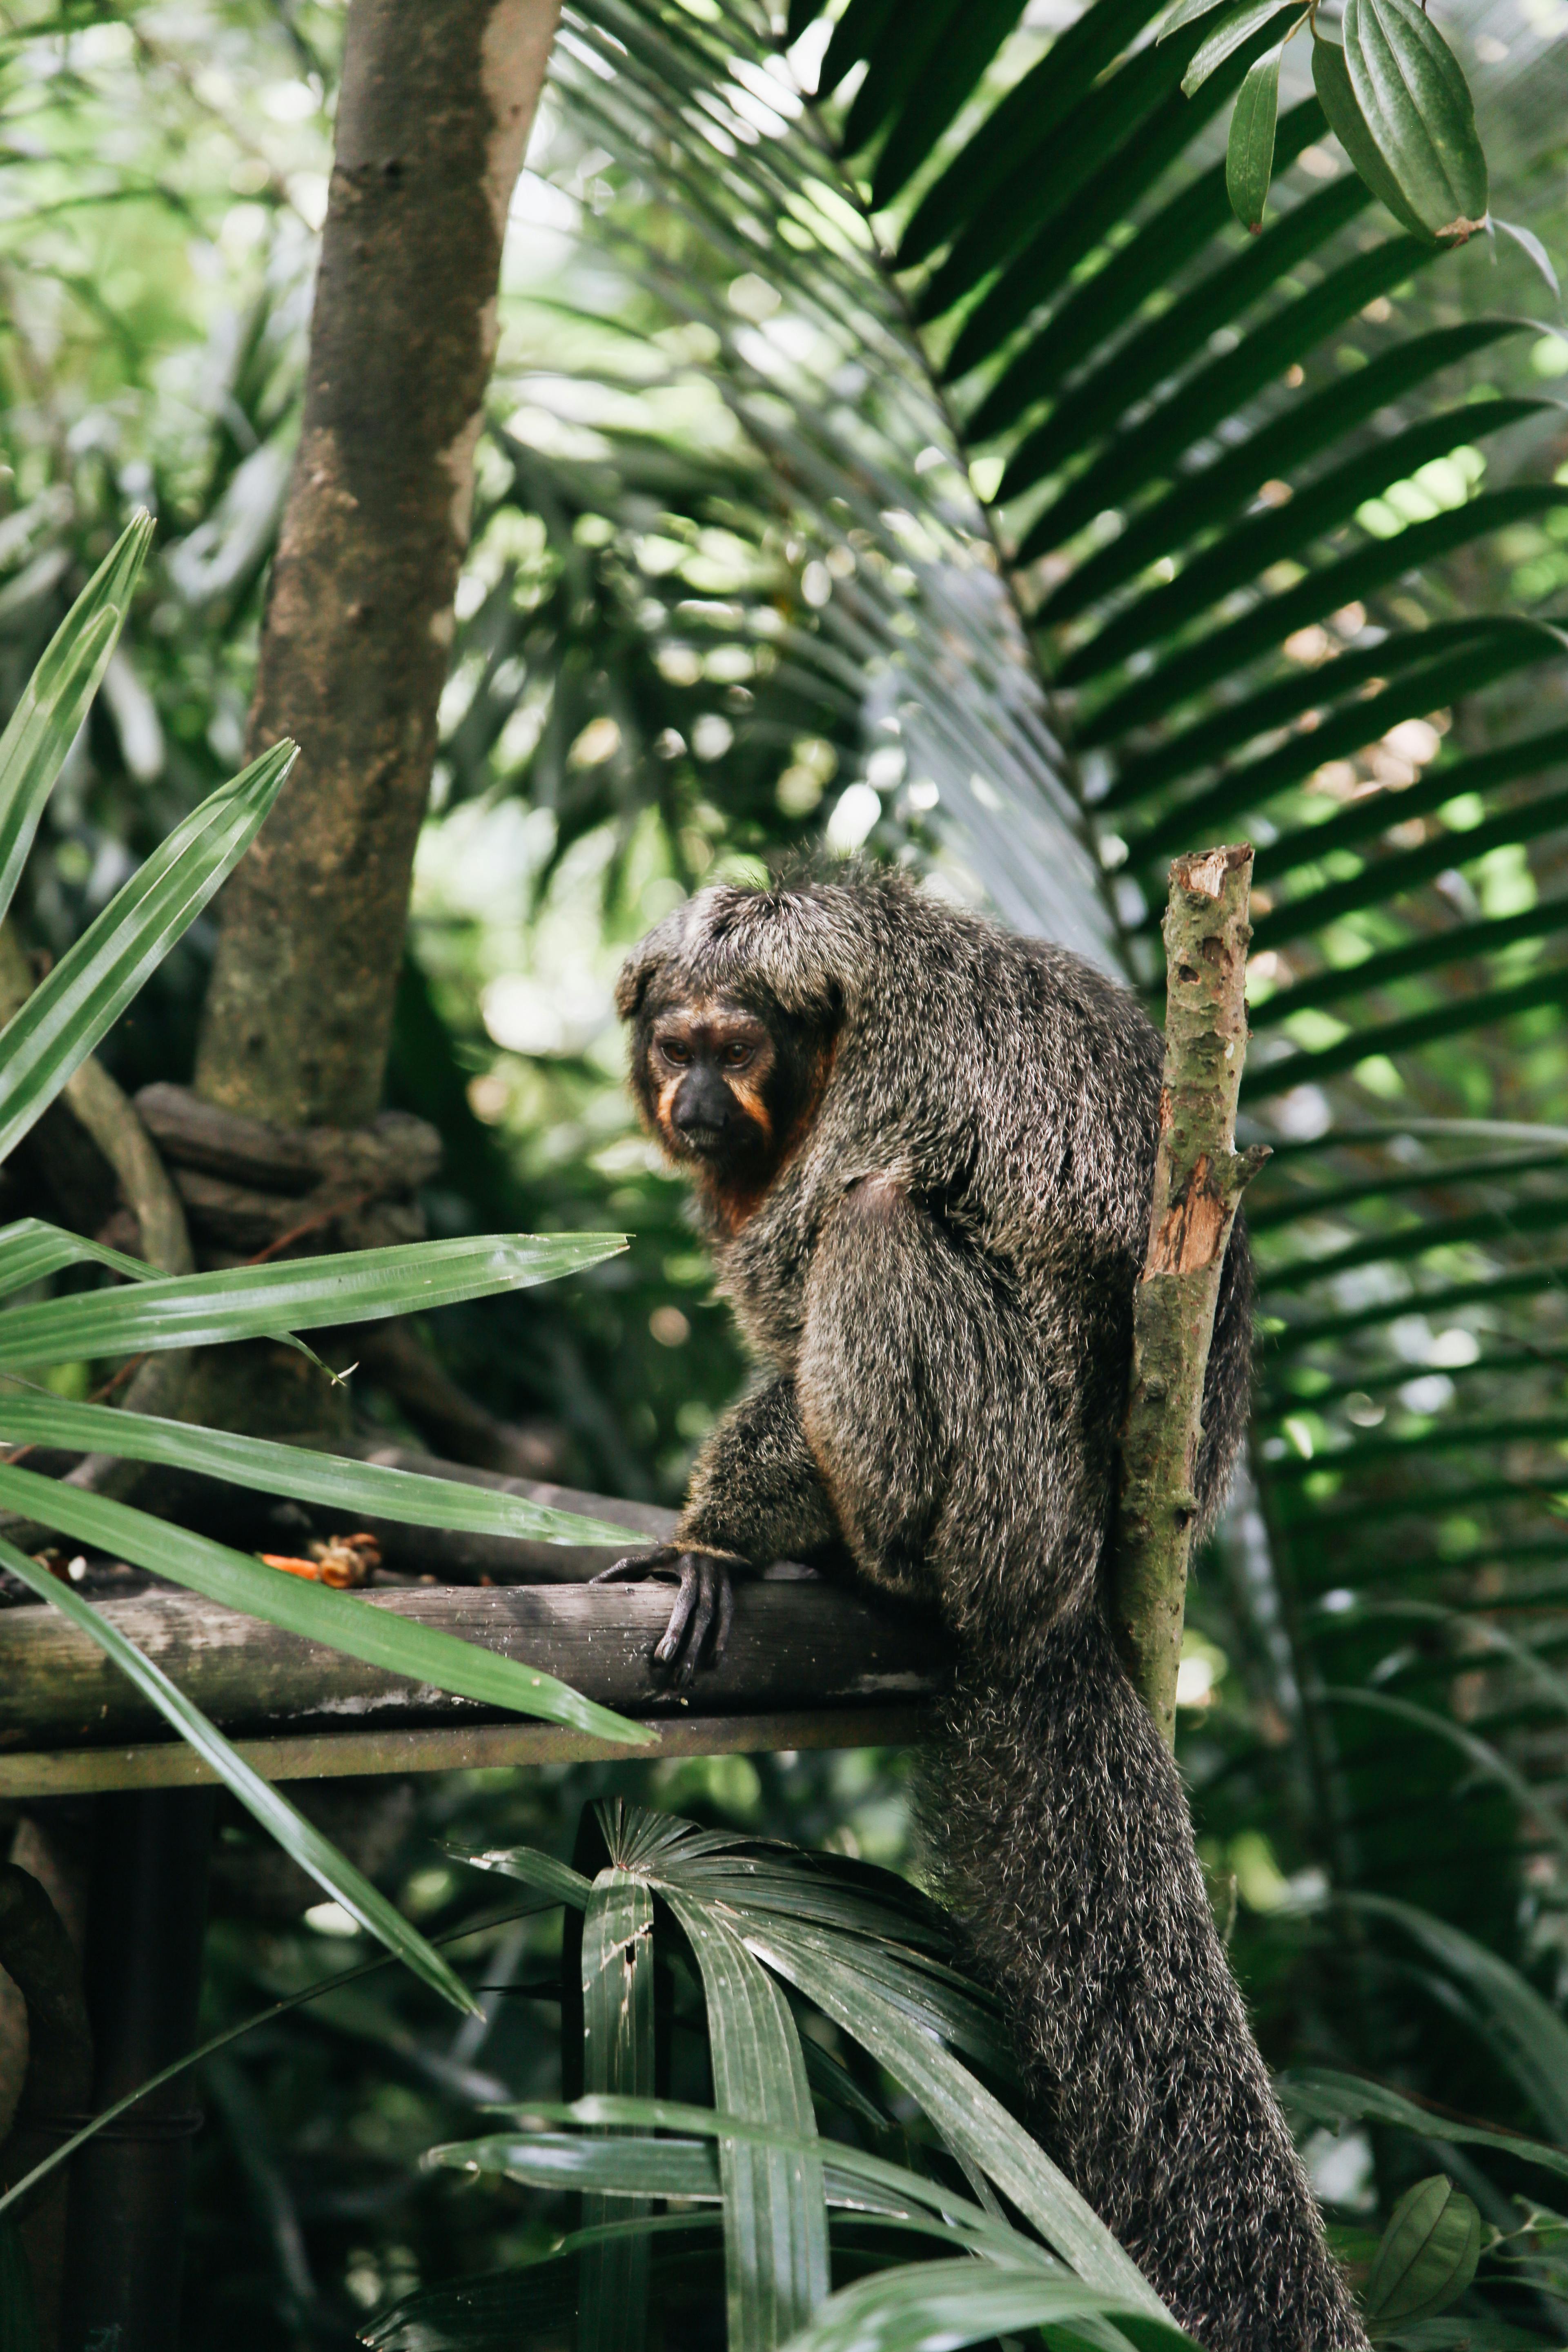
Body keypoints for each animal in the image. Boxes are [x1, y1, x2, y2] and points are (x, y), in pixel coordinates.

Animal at [601, 865, 1367, 2352]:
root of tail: (1065, 1586)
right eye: (678, 1048)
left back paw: (862, 1555)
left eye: (738, 1049)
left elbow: (820, 1275)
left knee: (884, 1227)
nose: (699, 1102)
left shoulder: (885, 1090)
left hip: (1005, 1499)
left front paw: (713, 1536)